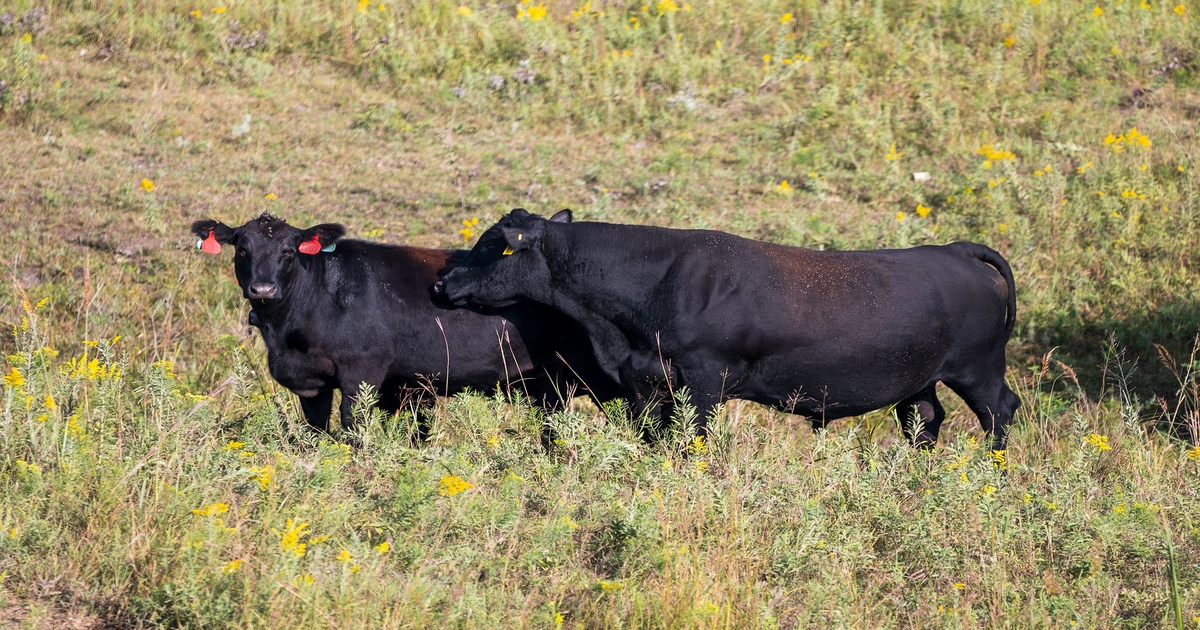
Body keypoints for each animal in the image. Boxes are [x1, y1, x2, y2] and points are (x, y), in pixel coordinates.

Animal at [191, 213, 618, 434]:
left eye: (288, 251)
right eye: (241, 249)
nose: (262, 288)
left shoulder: (363, 370)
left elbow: (353, 426)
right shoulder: (313, 383)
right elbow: (316, 430)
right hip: (549, 387)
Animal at [434, 208, 1020, 448]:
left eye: (496, 246)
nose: (443, 280)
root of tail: (952, 249)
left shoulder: (704, 378)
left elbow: (692, 437)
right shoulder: (647, 381)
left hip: (978, 368)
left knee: (1000, 410)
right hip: (919, 378)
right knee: (924, 419)